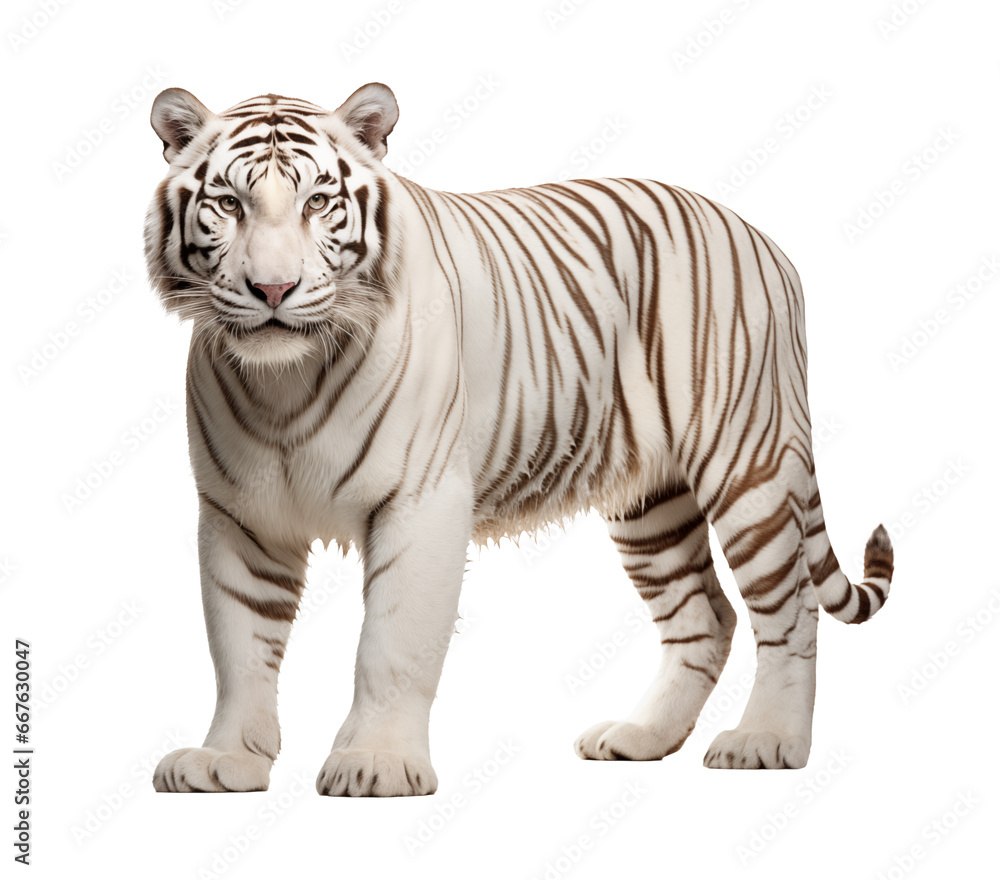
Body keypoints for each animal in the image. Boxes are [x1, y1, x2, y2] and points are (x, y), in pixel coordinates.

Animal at [144, 82, 894, 796]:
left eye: (318, 202)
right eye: (229, 203)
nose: (273, 289)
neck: (285, 383)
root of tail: (761, 237)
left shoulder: (420, 502)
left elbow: (391, 642)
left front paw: (377, 763)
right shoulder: (239, 516)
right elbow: (240, 648)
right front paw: (226, 760)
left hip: (748, 466)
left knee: (791, 607)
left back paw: (768, 740)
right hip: (650, 503)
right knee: (705, 617)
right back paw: (641, 737)